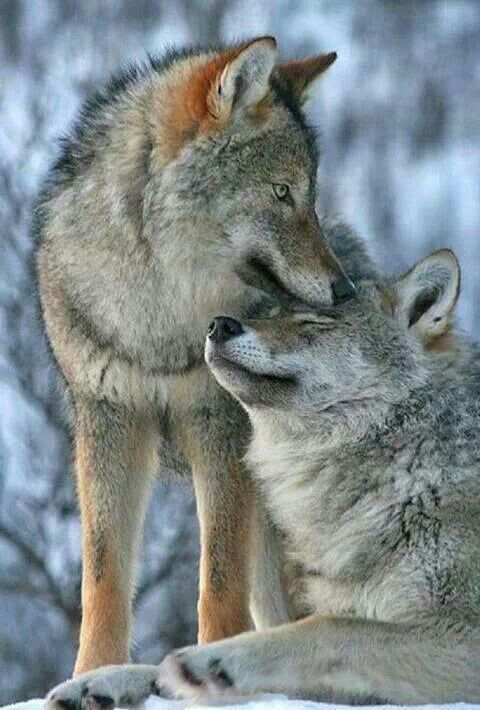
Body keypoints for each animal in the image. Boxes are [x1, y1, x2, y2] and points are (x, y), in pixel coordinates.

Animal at [35, 36, 362, 674]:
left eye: (311, 197)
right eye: (282, 192)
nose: (345, 292)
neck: (157, 309)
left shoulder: (220, 424)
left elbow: (218, 576)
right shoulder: (110, 418)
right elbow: (103, 575)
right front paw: (92, 674)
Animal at [48, 248, 480, 706]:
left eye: (314, 324)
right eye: (272, 312)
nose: (220, 324)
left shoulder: (459, 632)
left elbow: (329, 628)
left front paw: (212, 659)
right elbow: (162, 669)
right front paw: (105, 680)